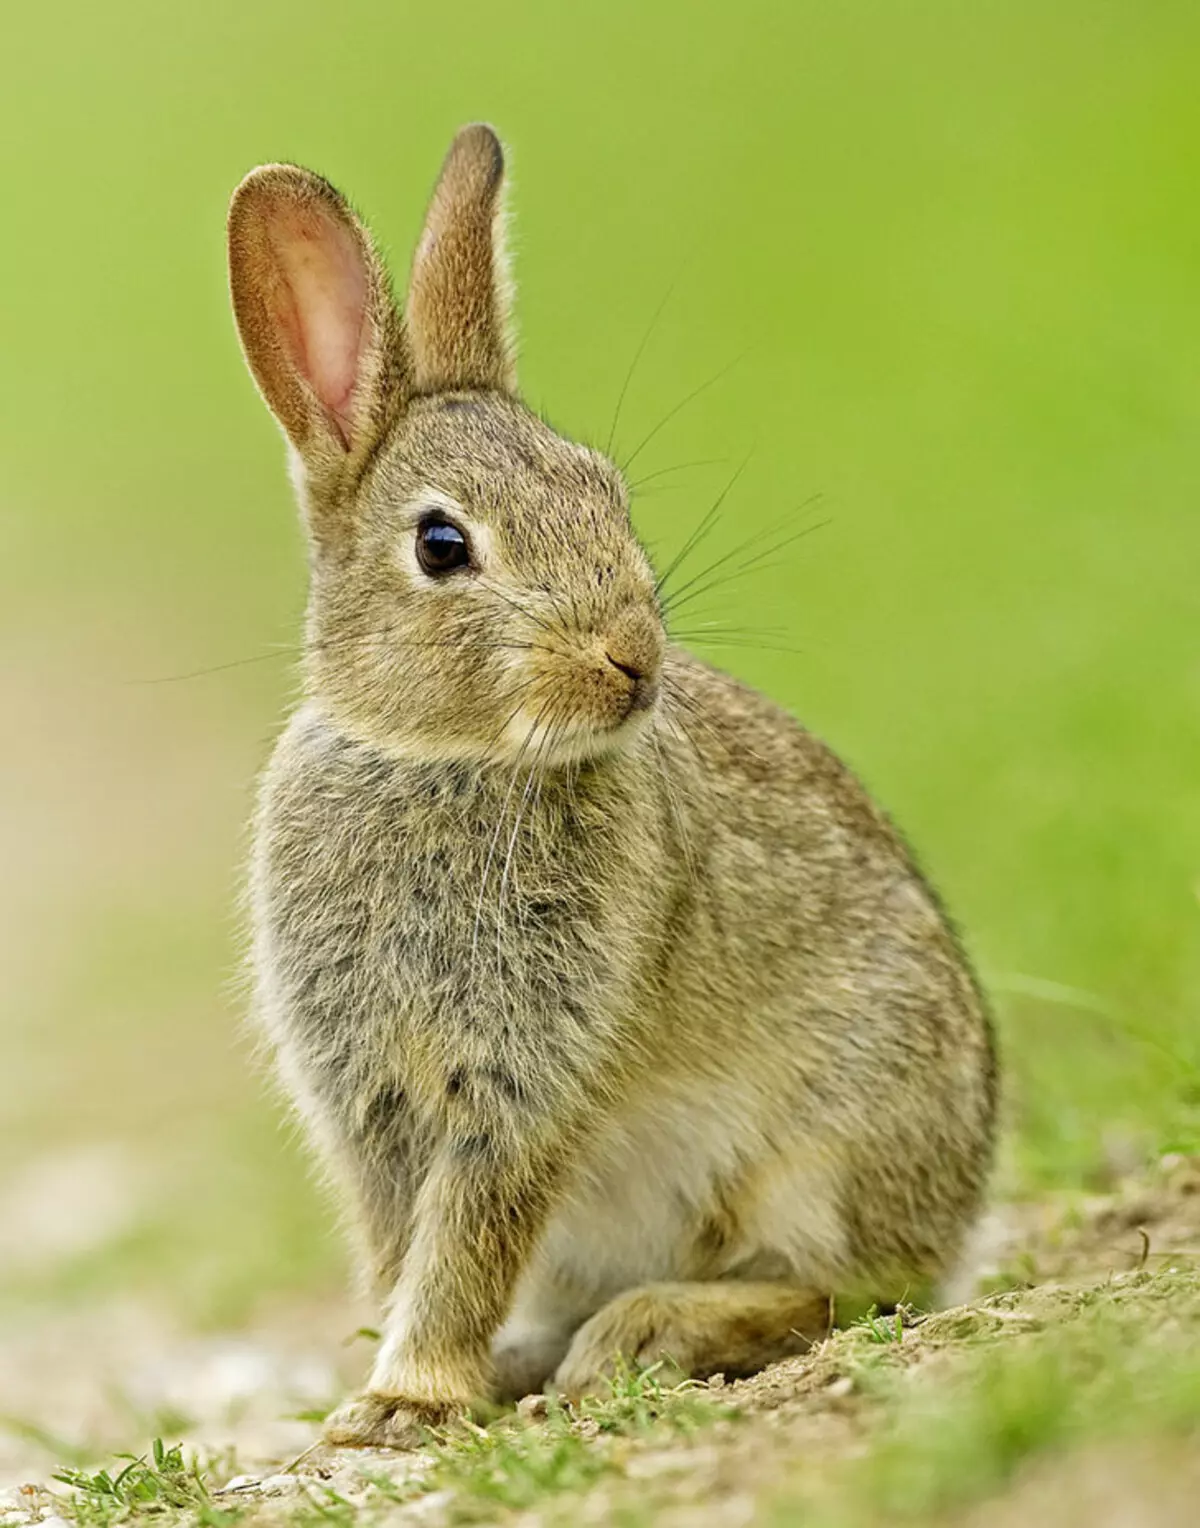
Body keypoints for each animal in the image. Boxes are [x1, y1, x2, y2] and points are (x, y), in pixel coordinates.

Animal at [229, 125, 996, 1448]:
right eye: (442, 545)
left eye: (606, 493)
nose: (633, 657)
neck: (447, 761)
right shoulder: (369, 1097)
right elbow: (403, 1248)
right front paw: (392, 1390)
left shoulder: (526, 1079)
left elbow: (465, 1240)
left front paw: (406, 1395)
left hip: (816, 1146)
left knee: (835, 1289)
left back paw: (638, 1335)